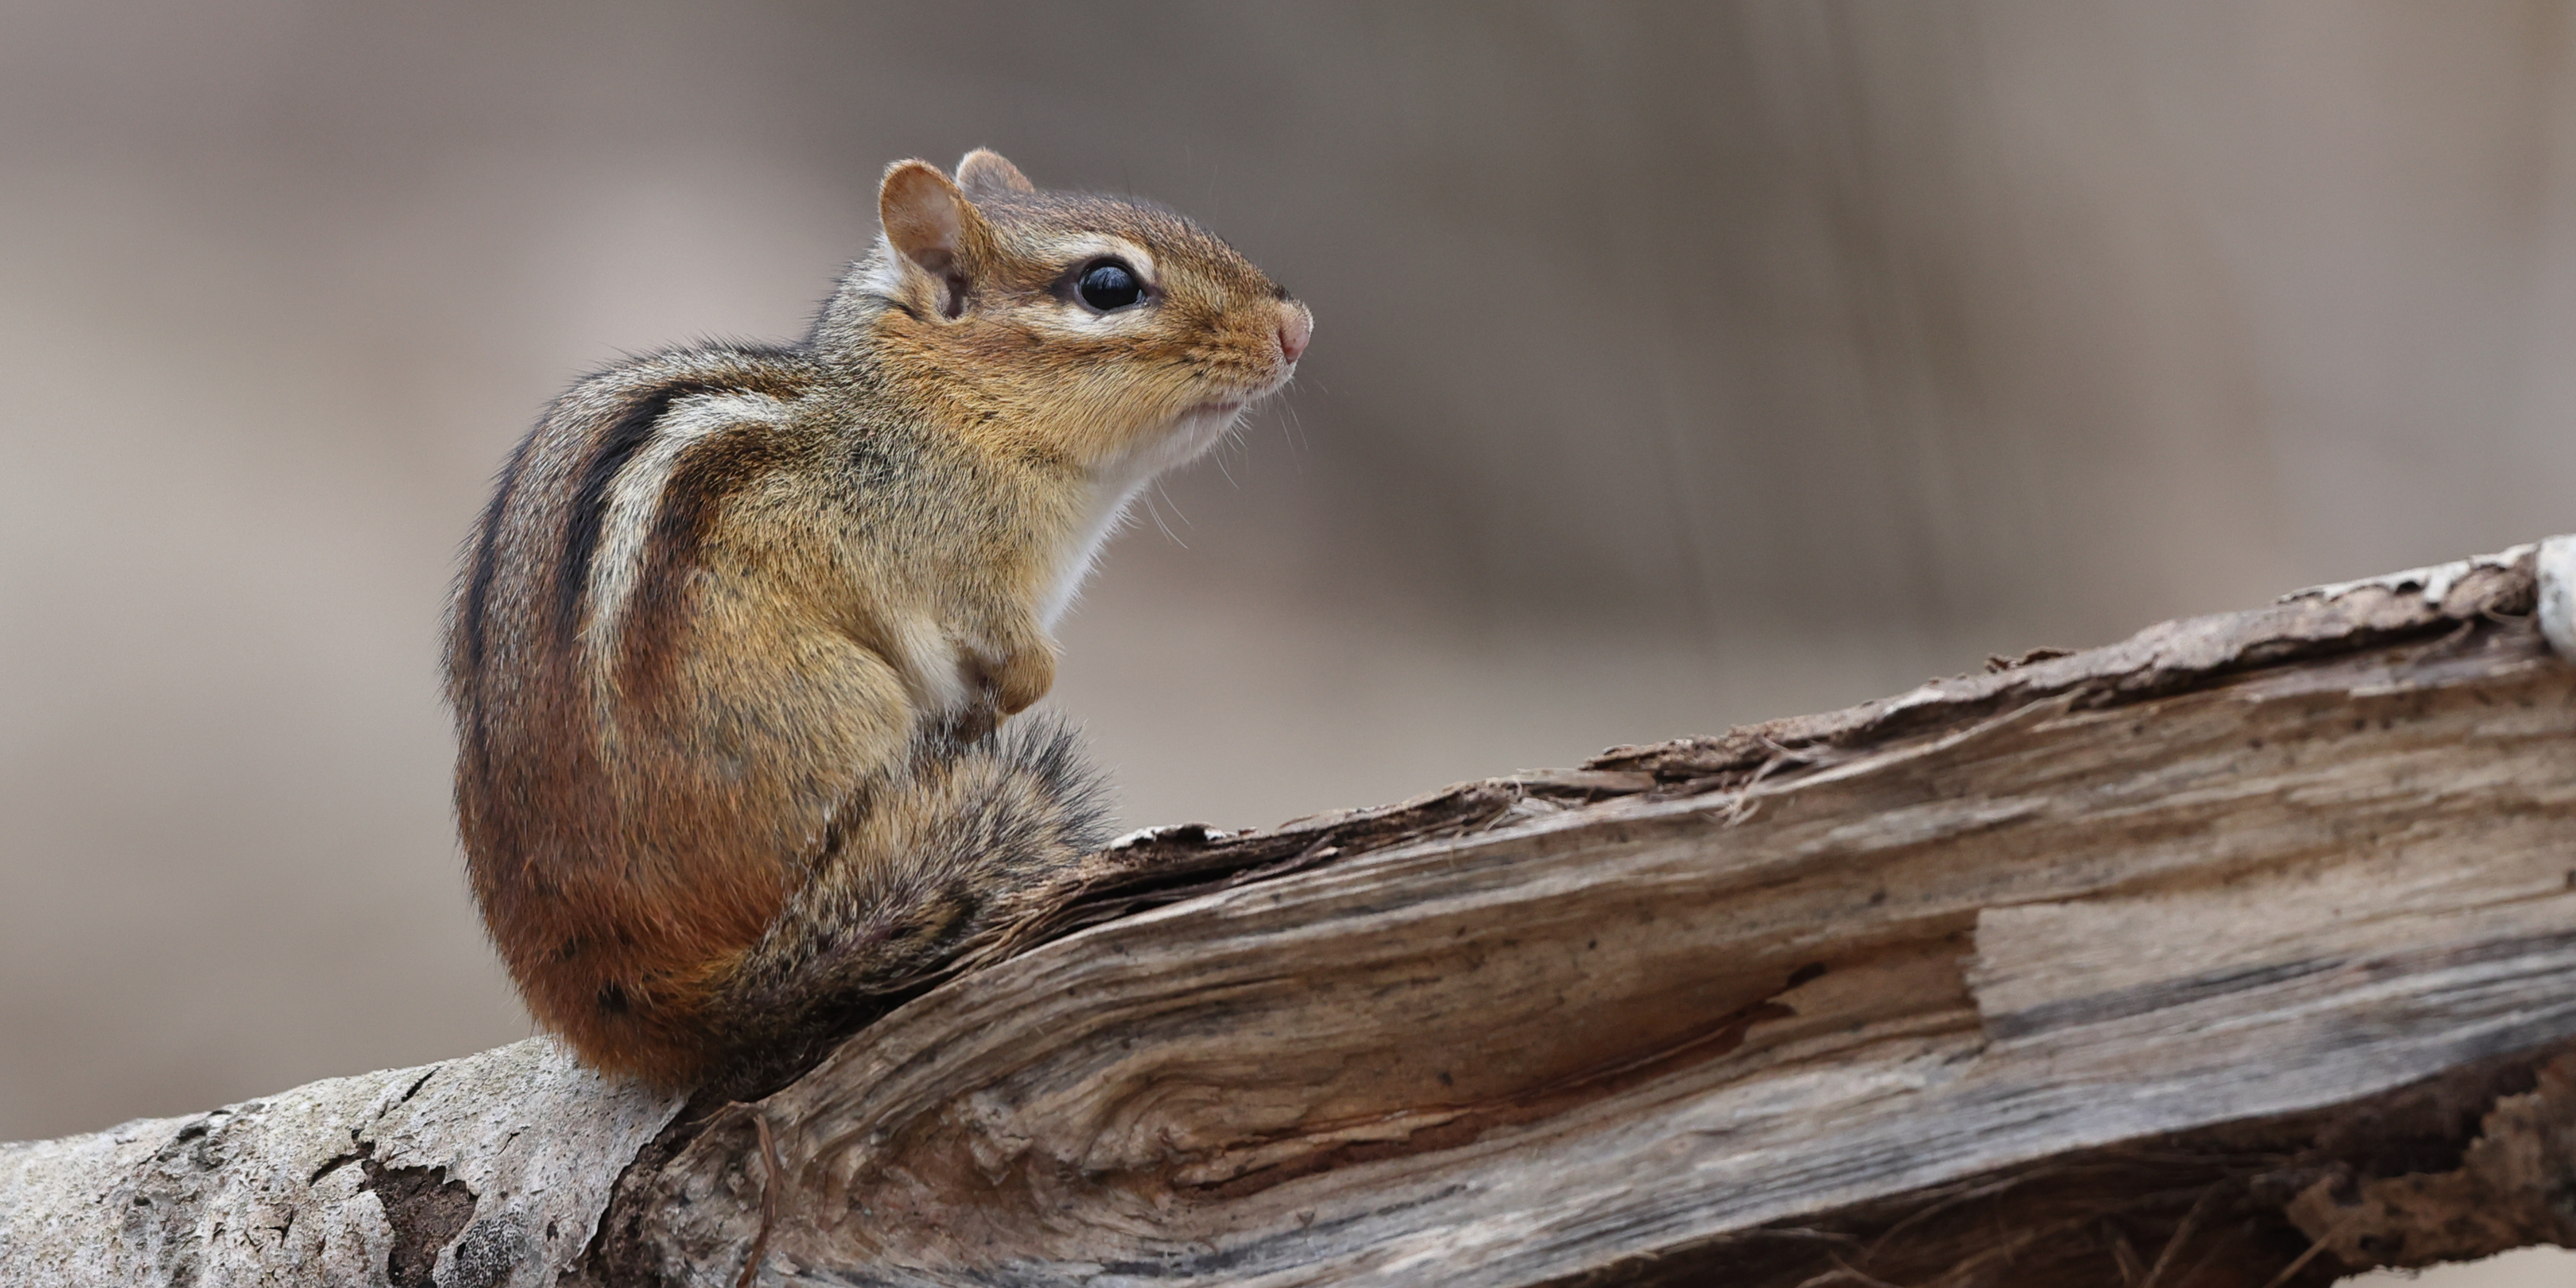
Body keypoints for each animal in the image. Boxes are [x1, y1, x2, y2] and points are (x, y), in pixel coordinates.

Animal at [444, 150, 1311, 1095]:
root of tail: (629, 986)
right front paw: (998, 699)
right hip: (836, 704)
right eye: (1108, 284)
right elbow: (1019, 661)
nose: (1296, 326)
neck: (943, 408)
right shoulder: (962, 574)